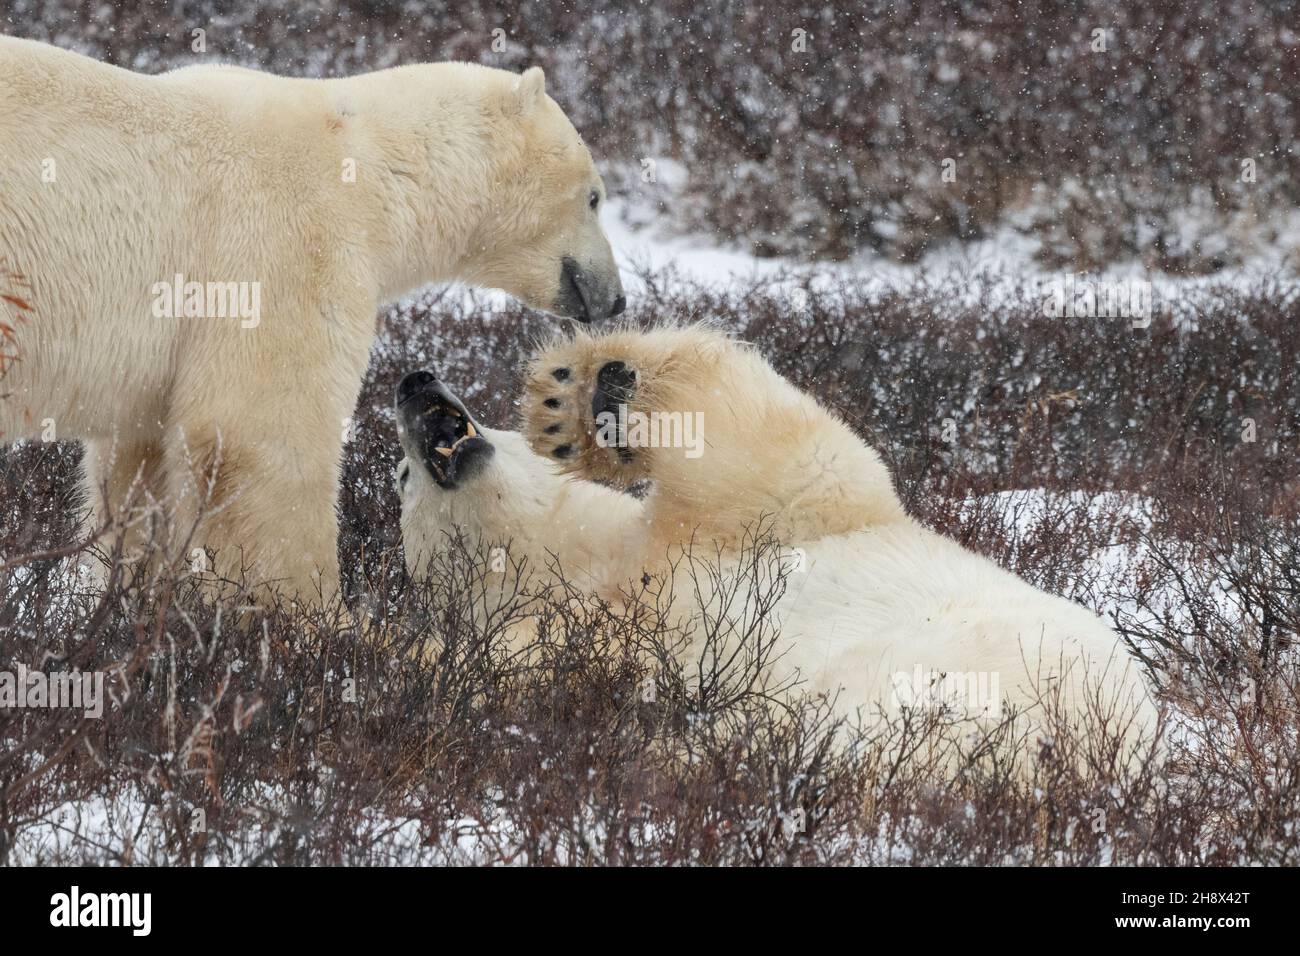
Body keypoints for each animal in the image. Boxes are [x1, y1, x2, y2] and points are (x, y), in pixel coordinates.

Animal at [0, 36, 623, 602]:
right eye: (594, 197)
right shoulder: (287, 248)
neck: (370, 167)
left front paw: (135, 600)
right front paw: (320, 622)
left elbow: (140, 467)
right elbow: (262, 438)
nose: (616, 299)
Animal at [395, 325, 1159, 768]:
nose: (412, 381)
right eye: (400, 477)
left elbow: (768, 445)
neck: (602, 568)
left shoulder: (764, 526)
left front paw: (578, 400)